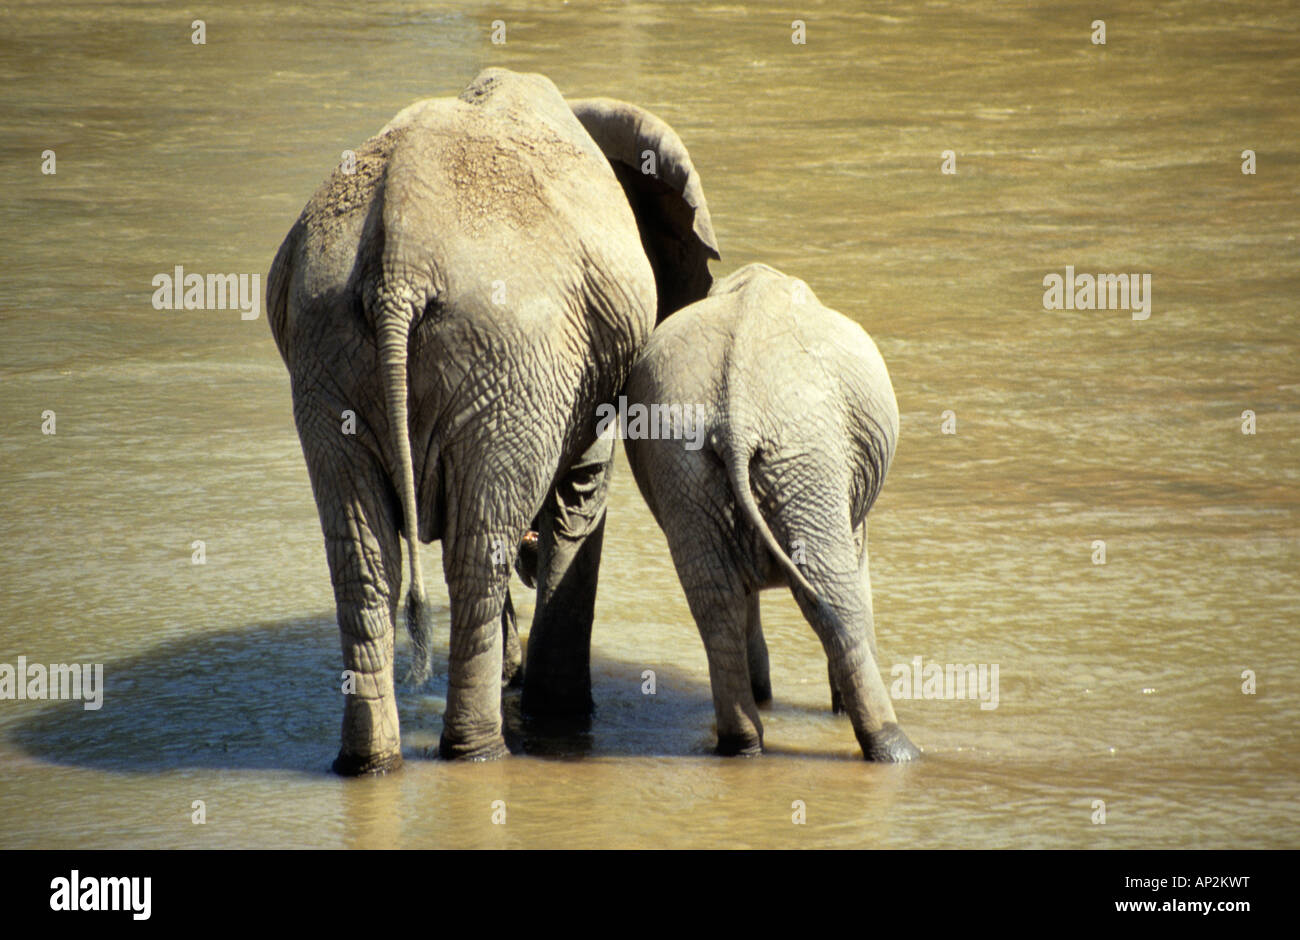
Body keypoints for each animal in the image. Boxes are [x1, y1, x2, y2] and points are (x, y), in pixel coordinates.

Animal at [266, 68, 718, 774]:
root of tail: (399, 265)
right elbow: (579, 507)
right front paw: (559, 714)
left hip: (329, 352)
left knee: (368, 557)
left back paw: (371, 764)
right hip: (508, 355)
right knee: (479, 550)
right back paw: (479, 751)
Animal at [622, 263, 920, 762]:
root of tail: (736, 419)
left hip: (682, 463)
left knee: (715, 601)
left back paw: (742, 747)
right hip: (807, 454)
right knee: (833, 593)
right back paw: (898, 751)